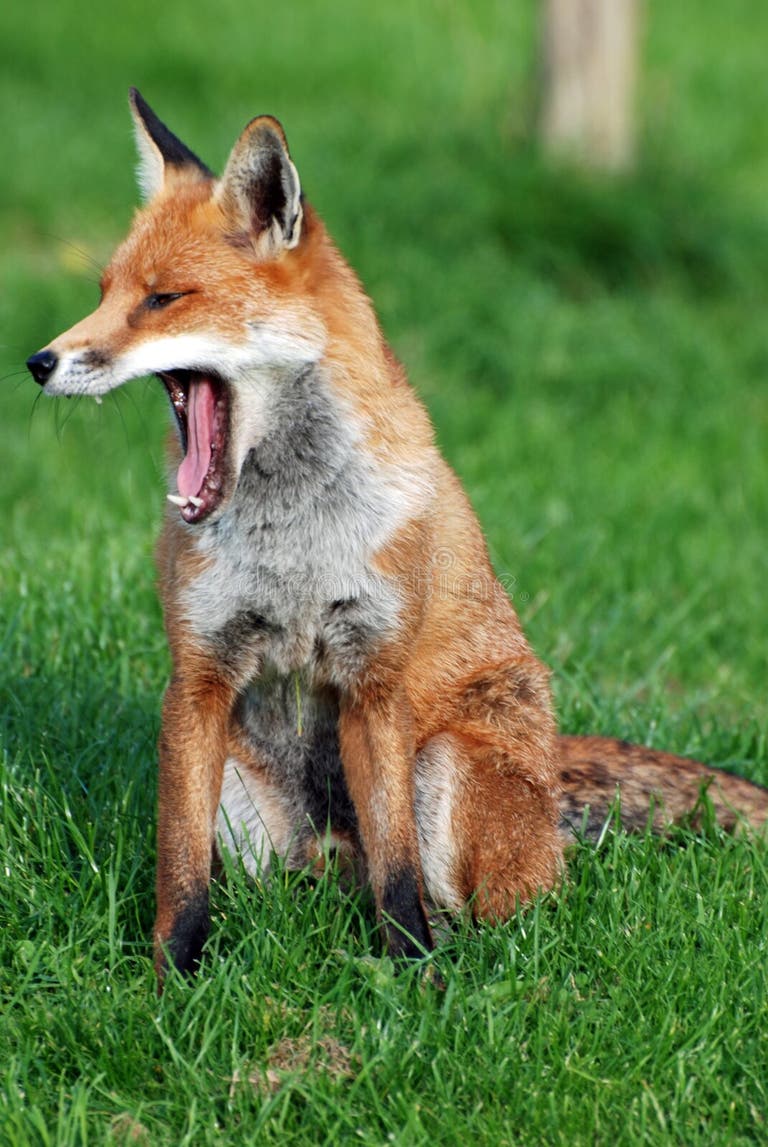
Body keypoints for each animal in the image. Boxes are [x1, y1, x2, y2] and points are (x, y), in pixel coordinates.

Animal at [27, 90, 768, 982]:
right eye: (104, 291)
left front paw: (414, 978)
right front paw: (170, 980)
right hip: (247, 807)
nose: (40, 361)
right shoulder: (198, 679)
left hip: (446, 762)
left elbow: (399, 871)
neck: (291, 542)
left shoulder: (373, 676)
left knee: (486, 909)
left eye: (164, 299)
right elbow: (180, 871)